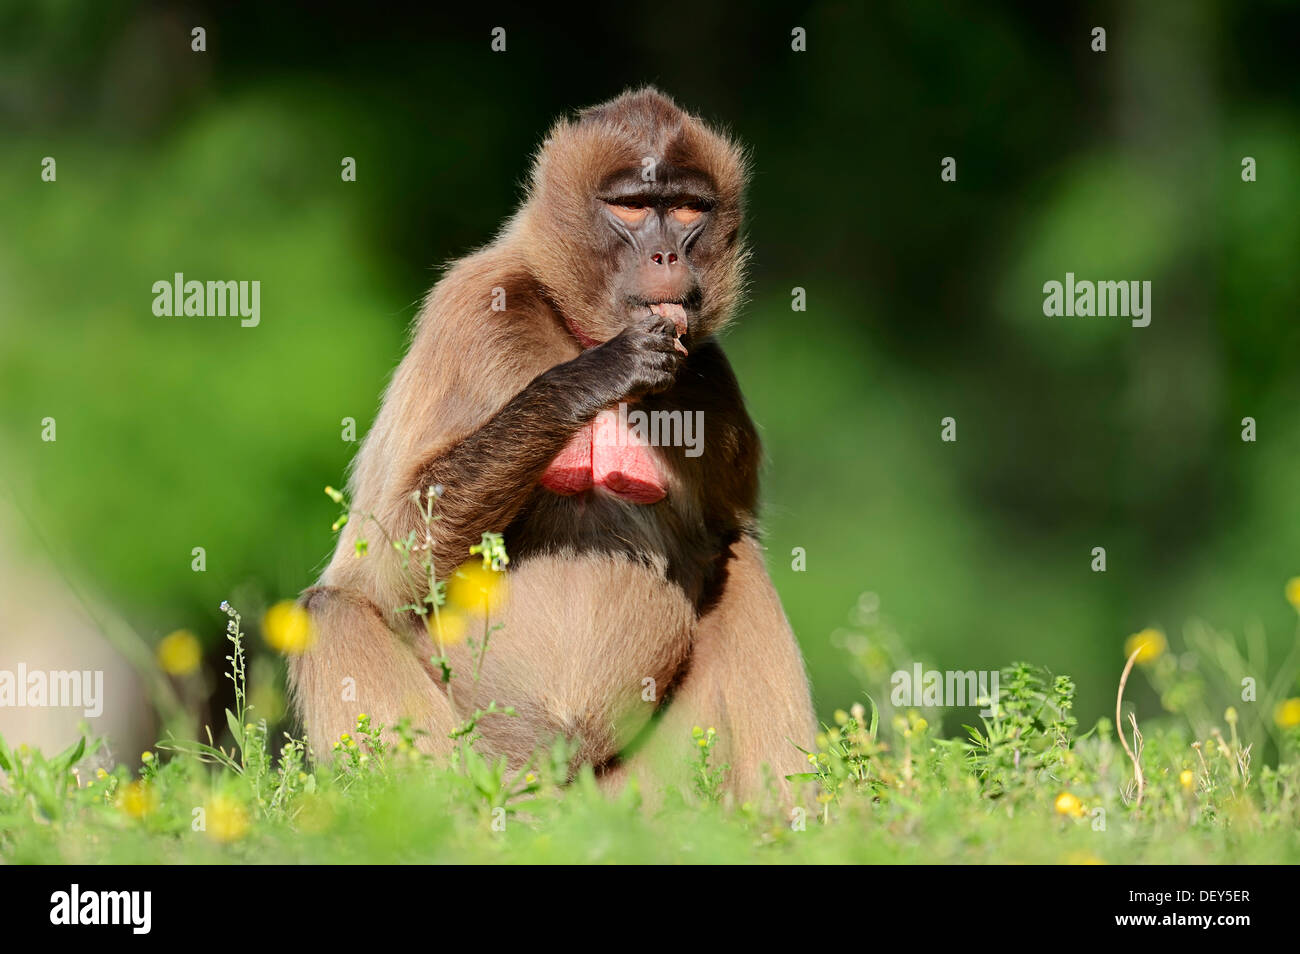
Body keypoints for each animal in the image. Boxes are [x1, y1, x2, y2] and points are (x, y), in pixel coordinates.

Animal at [289, 87, 816, 799]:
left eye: (686, 209)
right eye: (632, 208)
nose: (667, 257)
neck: (577, 329)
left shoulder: (712, 382)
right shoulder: (470, 314)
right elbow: (384, 566)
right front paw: (587, 382)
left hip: (645, 795)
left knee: (739, 561)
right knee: (331, 611)